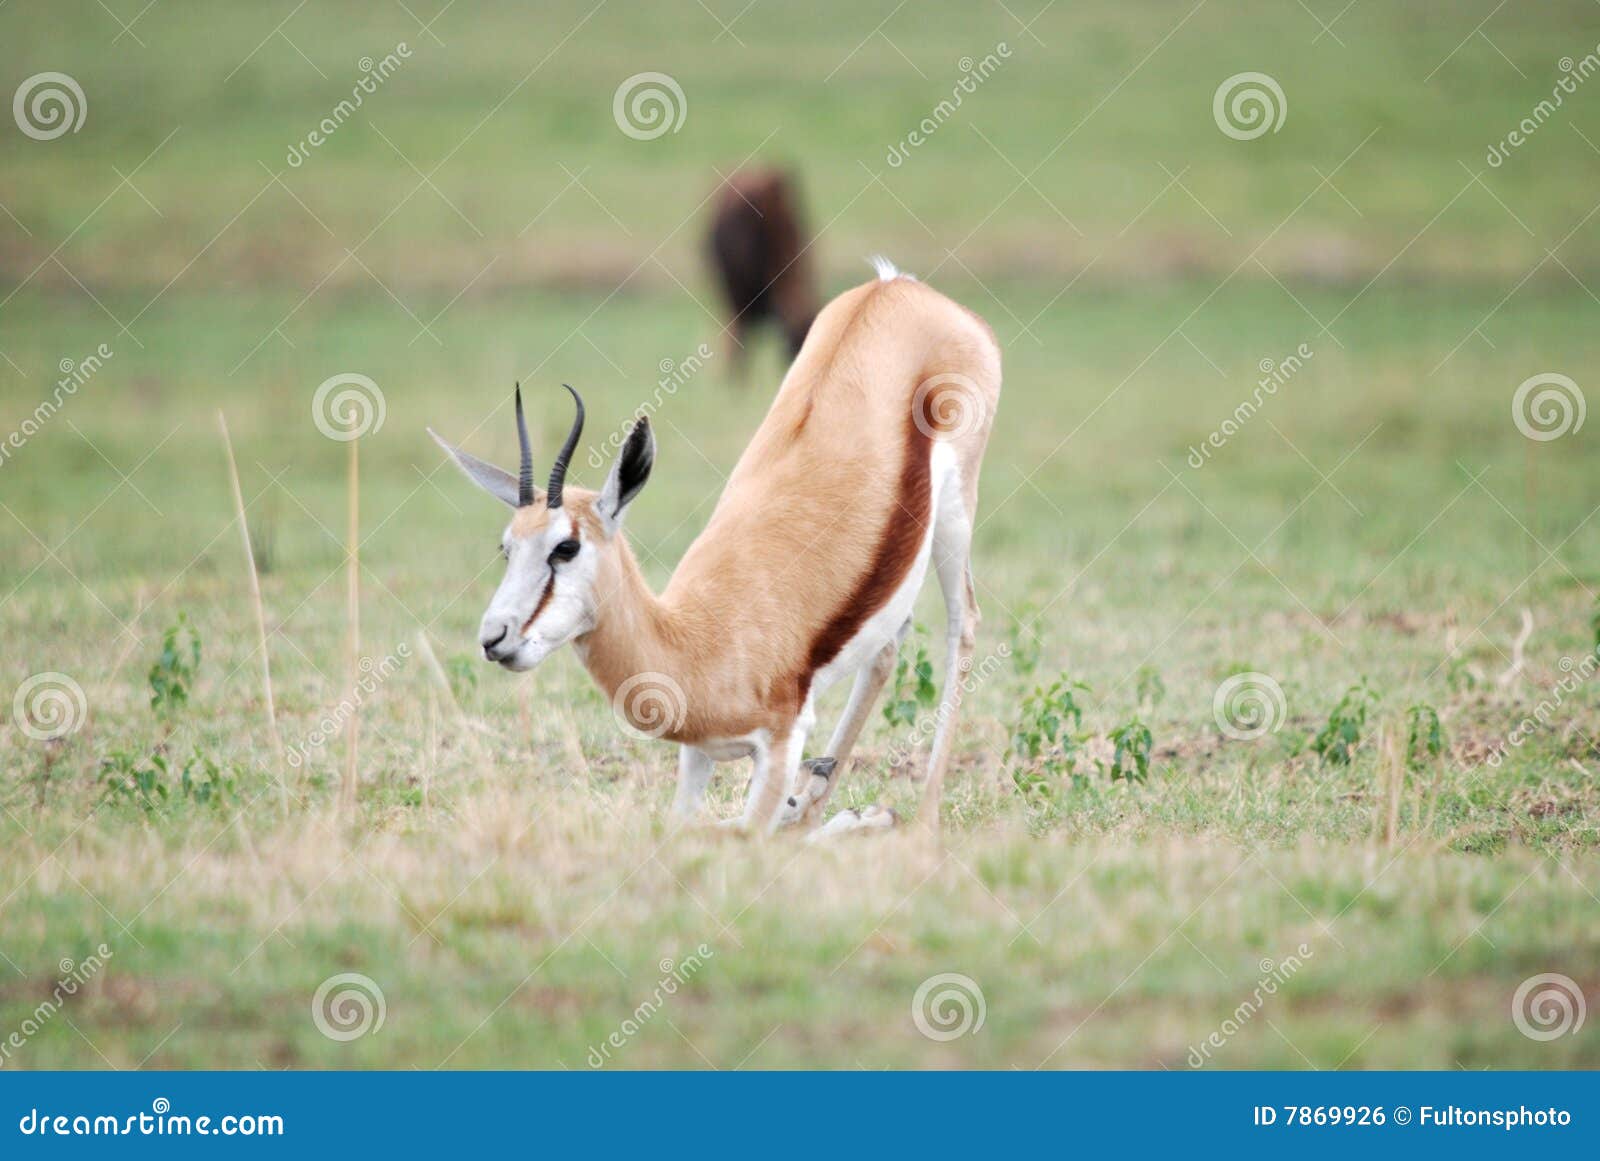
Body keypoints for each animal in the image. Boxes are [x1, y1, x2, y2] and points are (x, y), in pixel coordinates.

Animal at [429, 259, 1000, 834]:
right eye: (507, 549)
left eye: (565, 547)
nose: (493, 638)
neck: (696, 642)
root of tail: (897, 286)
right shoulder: (698, 753)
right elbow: (683, 827)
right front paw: (831, 813)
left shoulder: (781, 744)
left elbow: (745, 834)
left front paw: (860, 818)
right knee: (887, 646)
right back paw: (815, 805)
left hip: (956, 512)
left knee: (964, 624)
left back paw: (918, 819)